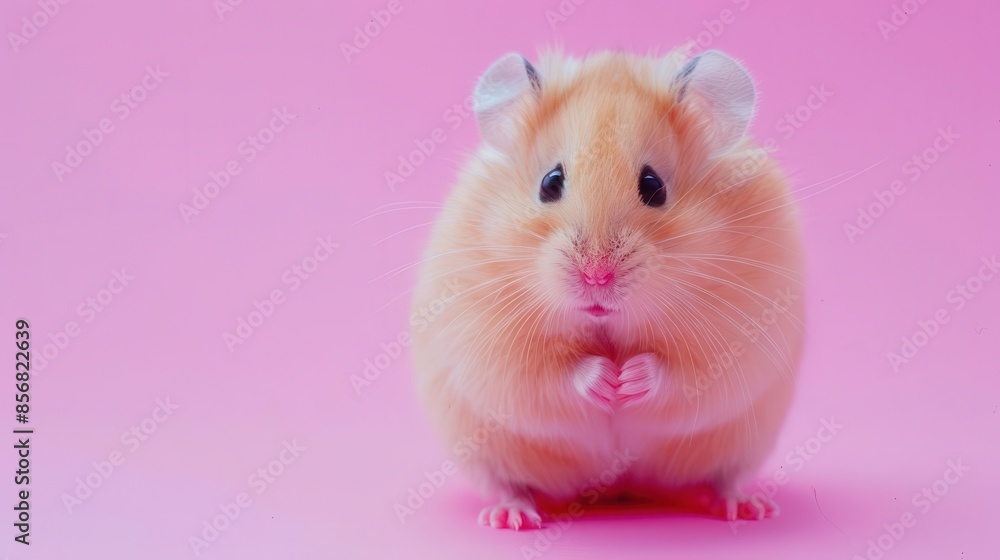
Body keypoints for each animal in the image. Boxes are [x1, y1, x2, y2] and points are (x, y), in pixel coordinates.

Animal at [410, 46, 805, 530]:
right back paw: (511, 516)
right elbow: (552, 373)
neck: (607, 329)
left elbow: (682, 374)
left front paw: (629, 380)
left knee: (722, 480)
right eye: (550, 182)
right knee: (506, 484)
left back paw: (747, 508)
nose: (596, 277)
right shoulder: (492, 344)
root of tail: (619, 490)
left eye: (654, 186)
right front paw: (606, 380)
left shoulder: (739, 336)